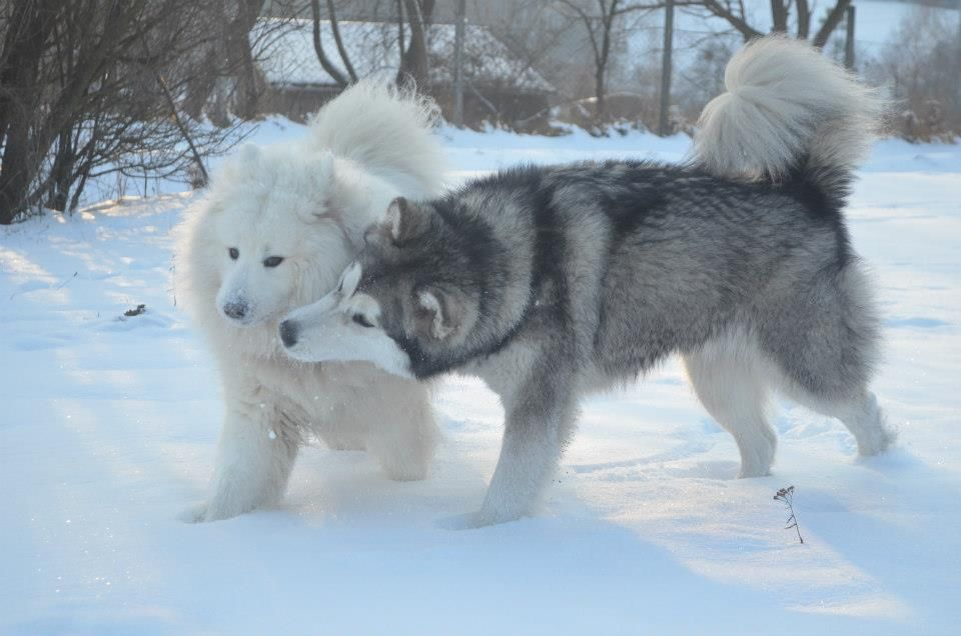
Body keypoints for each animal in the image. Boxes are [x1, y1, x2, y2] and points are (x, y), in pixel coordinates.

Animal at [174, 83, 444, 520]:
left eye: (273, 260)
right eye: (233, 252)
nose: (231, 309)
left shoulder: (396, 407)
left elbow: (406, 463)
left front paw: (409, 500)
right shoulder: (260, 404)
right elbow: (238, 478)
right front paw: (214, 522)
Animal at [280, 37, 900, 528]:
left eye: (364, 319)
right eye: (342, 283)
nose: (284, 330)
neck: (508, 262)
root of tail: (806, 191)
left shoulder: (540, 402)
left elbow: (508, 489)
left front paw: (472, 536)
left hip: (804, 363)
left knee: (864, 411)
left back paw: (880, 479)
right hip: (714, 373)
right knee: (764, 441)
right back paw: (736, 497)